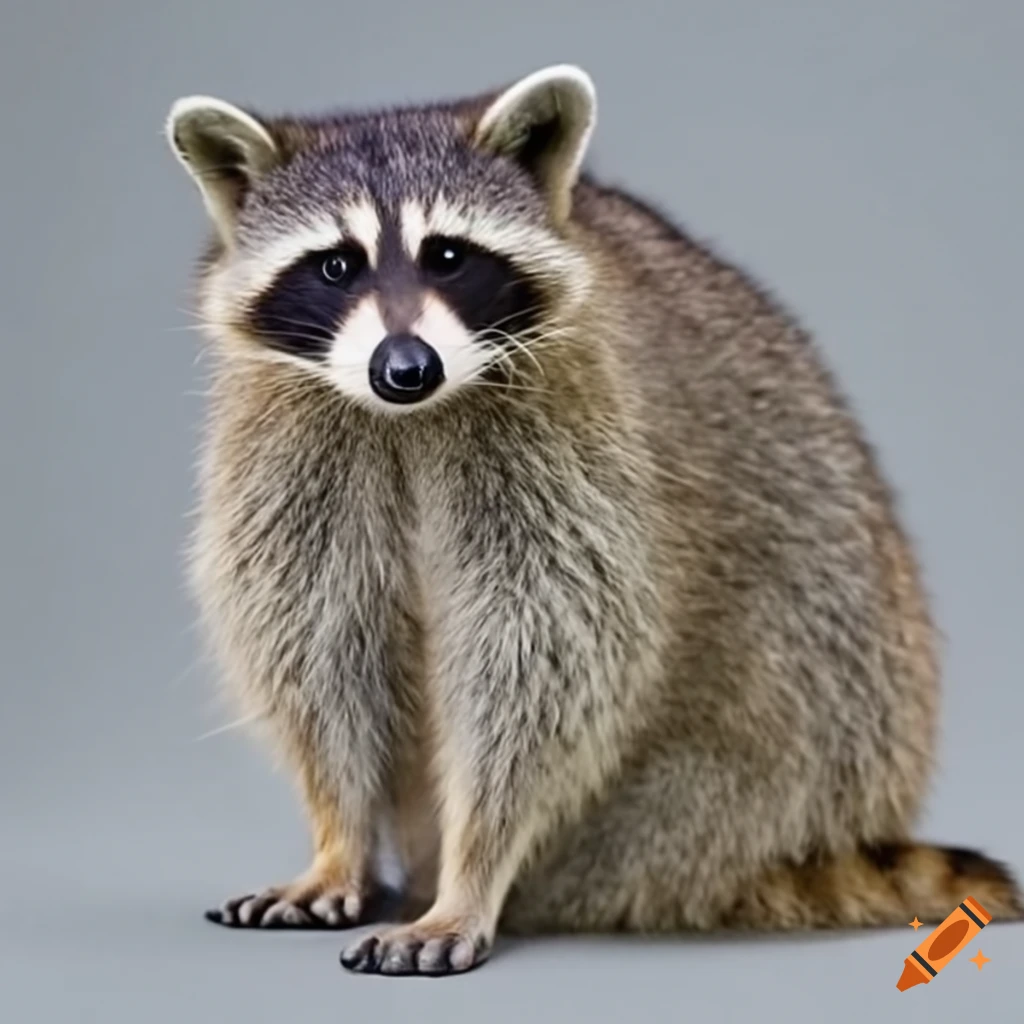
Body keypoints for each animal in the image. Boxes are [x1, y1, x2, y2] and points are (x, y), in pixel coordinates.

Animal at [165, 64, 1022, 976]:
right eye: (335, 266)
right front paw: (340, 839)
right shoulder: (289, 444)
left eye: (448, 256)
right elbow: (319, 646)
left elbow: (541, 661)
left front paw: (475, 867)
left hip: (697, 801)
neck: (410, 417)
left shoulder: (570, 439)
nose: (406, 367)